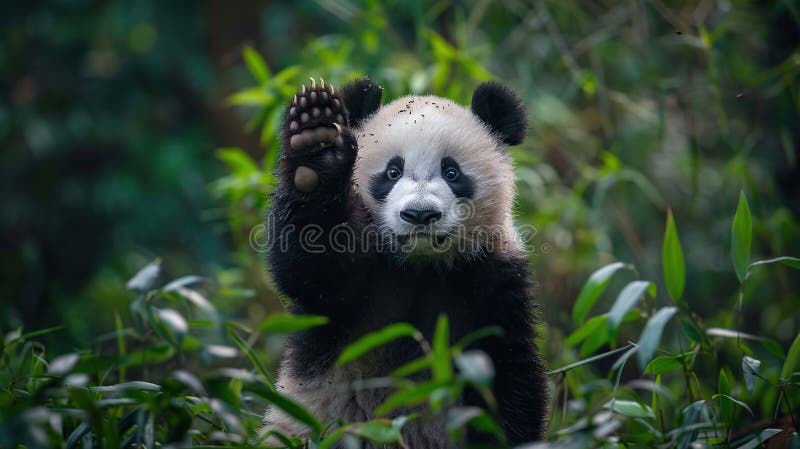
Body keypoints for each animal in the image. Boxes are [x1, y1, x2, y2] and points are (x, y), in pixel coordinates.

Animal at [263, 77, 547, 447]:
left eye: (452, 172)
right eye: (392, 172)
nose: (420, 214)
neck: (419, 265)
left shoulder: (492, 277)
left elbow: (506, 375)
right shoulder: (352, 291)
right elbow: (311, 268)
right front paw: (316, 146)